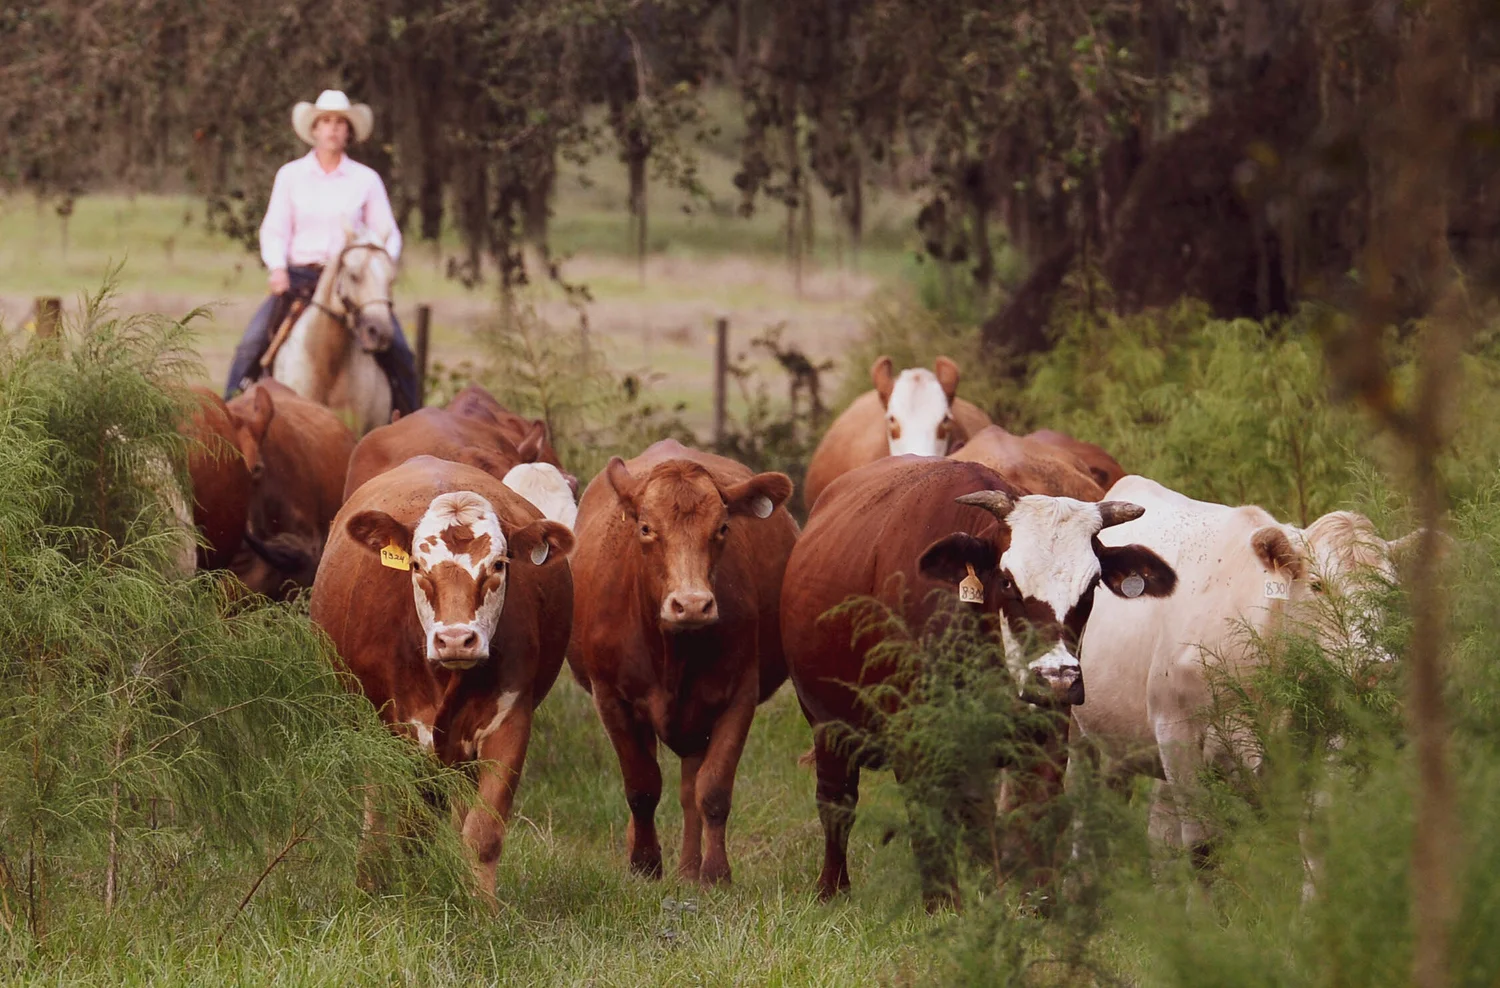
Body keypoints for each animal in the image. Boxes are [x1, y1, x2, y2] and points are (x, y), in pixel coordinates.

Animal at [310, 455, 575, 899]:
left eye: (498, 565)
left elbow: (482, 835)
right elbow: (407, 824)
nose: (455, 640)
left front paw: (479, 907)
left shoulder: (508, 726)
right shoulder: (397, 731)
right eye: (418, 566)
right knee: (380, 810)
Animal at [569, 439, 797, 886]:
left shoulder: (738, 695)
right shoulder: (611, 699)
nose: (692, 604)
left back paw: (690, 869)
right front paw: (644, 863)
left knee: (691, 790)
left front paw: (715, 873)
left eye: (723, 528)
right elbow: (641, 786)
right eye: (645, 528)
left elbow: (713, 790)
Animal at [780, 456, 1178, 908]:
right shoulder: (916, 739)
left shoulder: (1044, 737)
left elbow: (1033, 816)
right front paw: (943, 904)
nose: (1056, 679)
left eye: (1092, 586)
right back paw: (832, 888)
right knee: (837, 804)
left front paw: (1038, 903)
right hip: (826, 727)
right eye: (1007, 582)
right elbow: (928, 819)